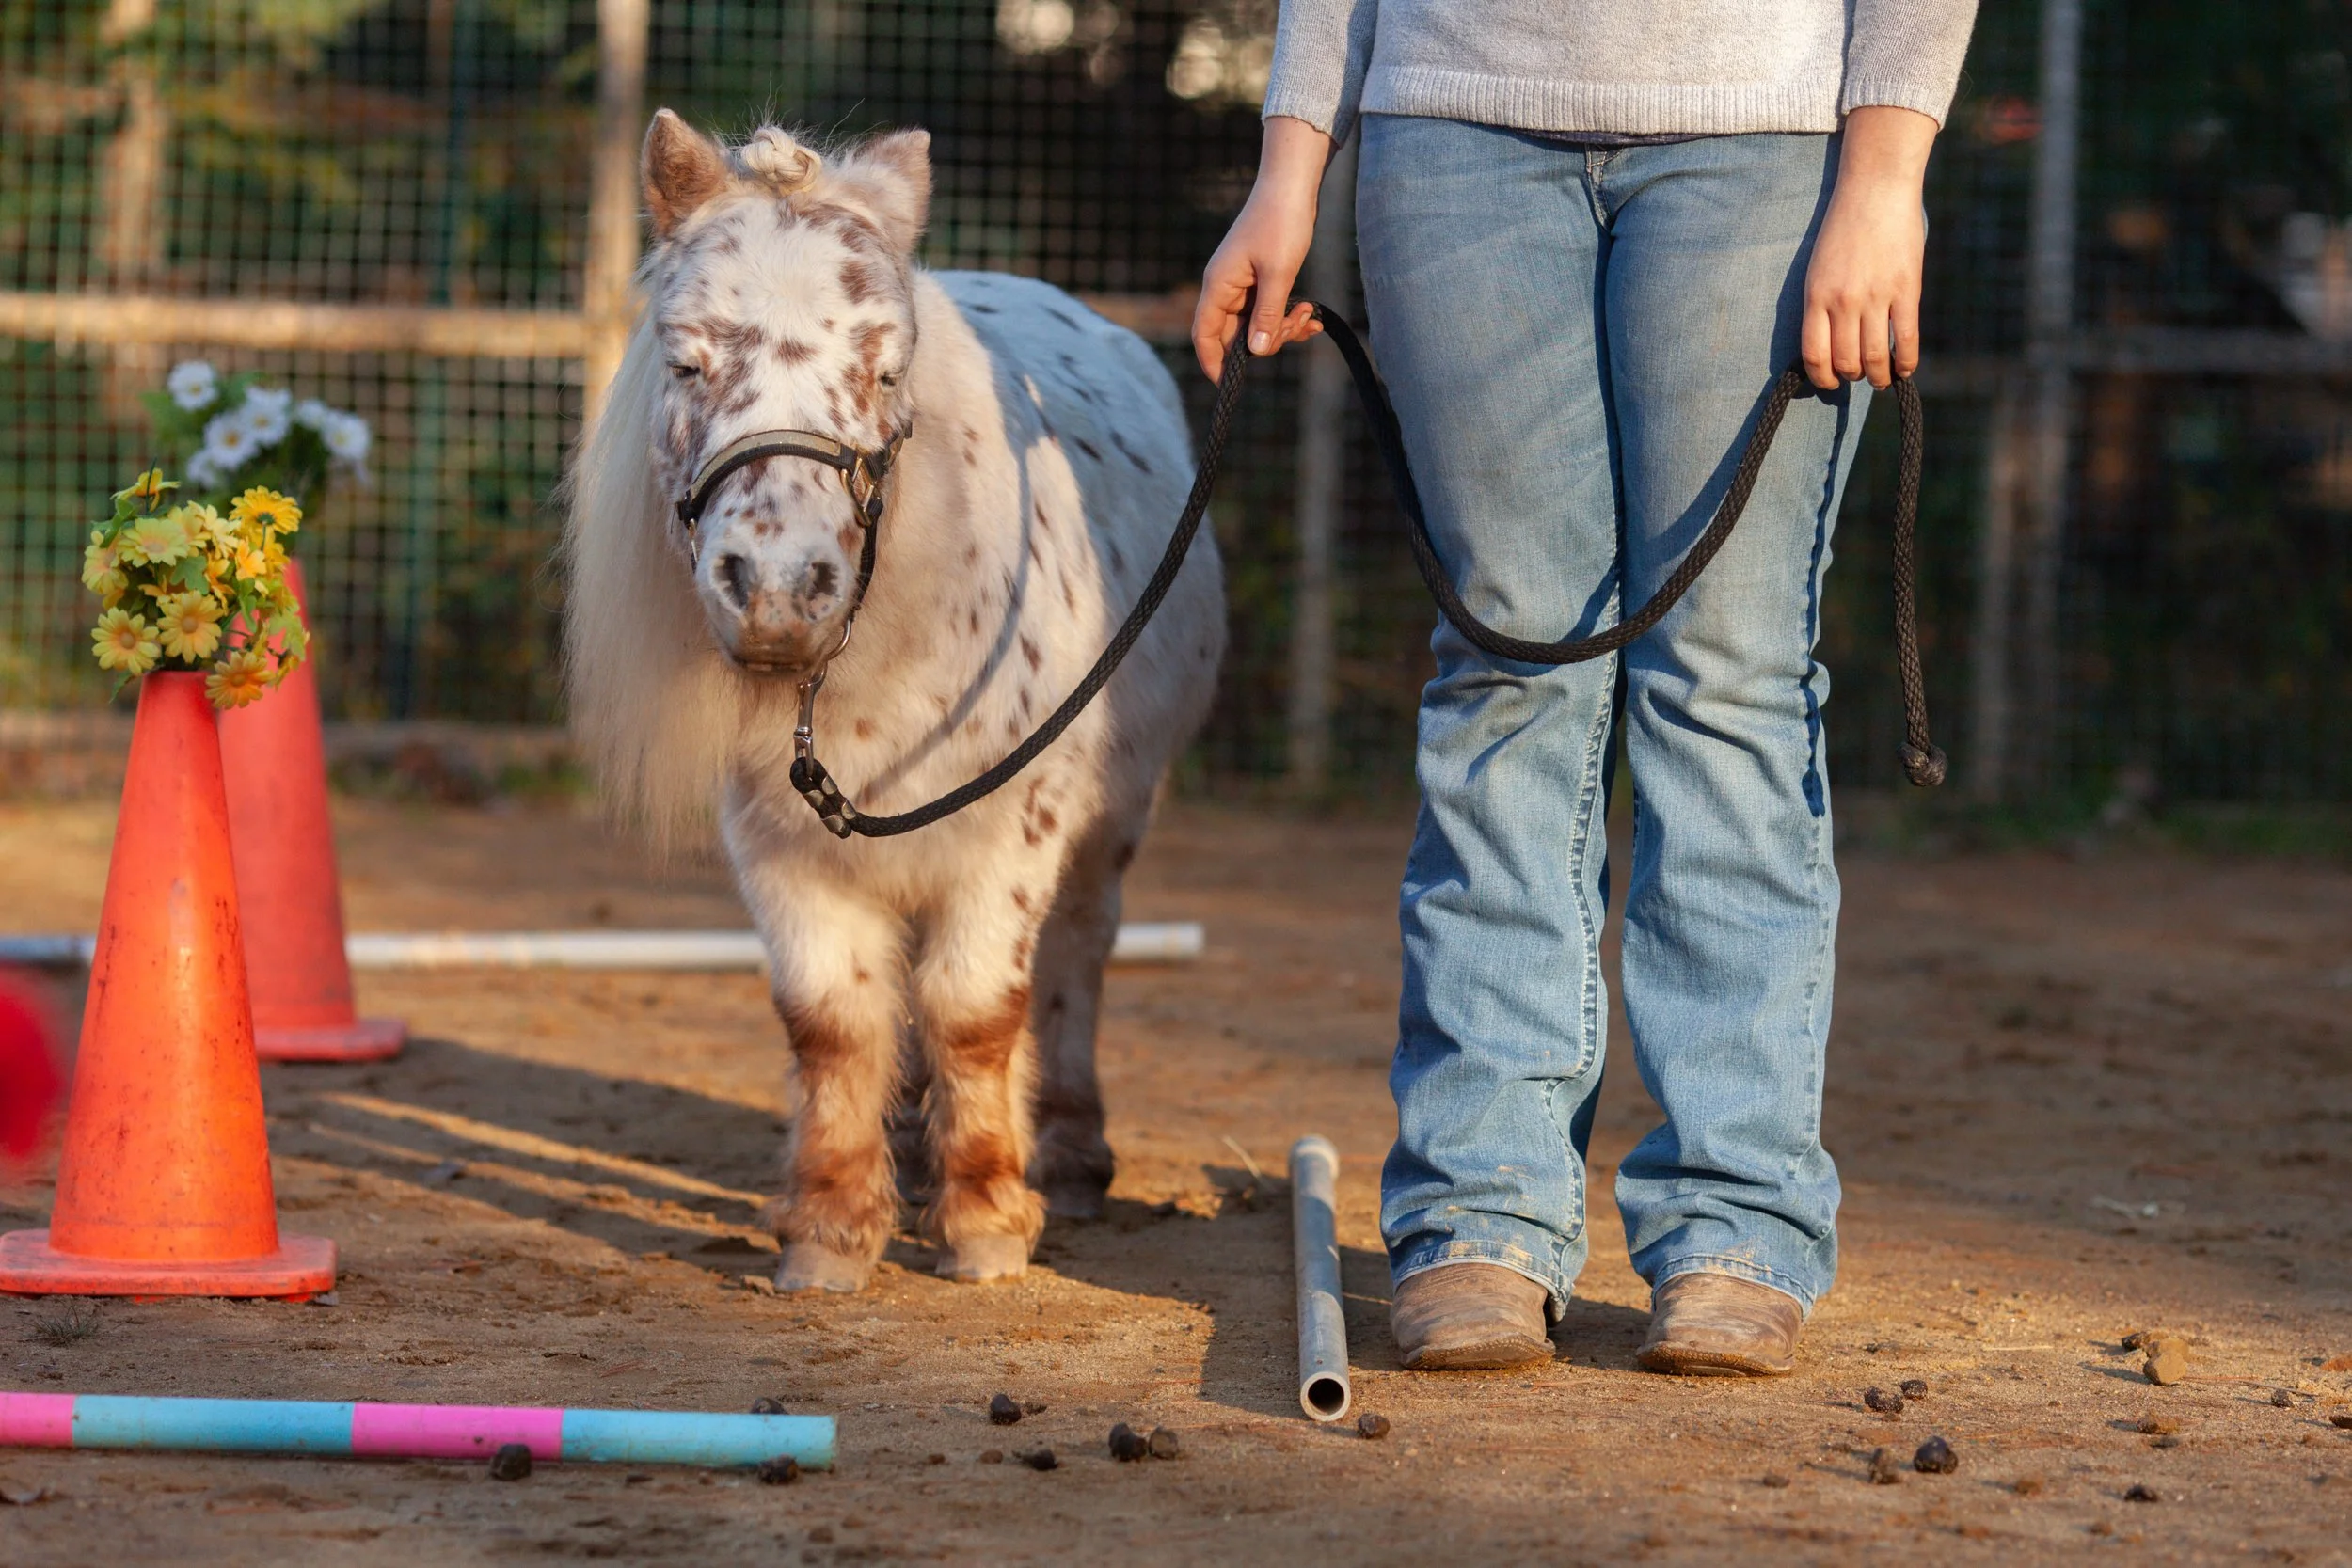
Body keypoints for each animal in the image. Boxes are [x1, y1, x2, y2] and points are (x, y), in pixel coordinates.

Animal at [561, 110, 1224, 1293]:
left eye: (881, 368)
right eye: (686, 360)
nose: (779, 589)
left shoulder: (1013, 830)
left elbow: (975, 1012)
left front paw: (989, 1223)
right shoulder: (777, 842)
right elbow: (831, 1020)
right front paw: (830, 1229)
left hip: (1113, 818)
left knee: (1078, 953)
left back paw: (1068, 1154)